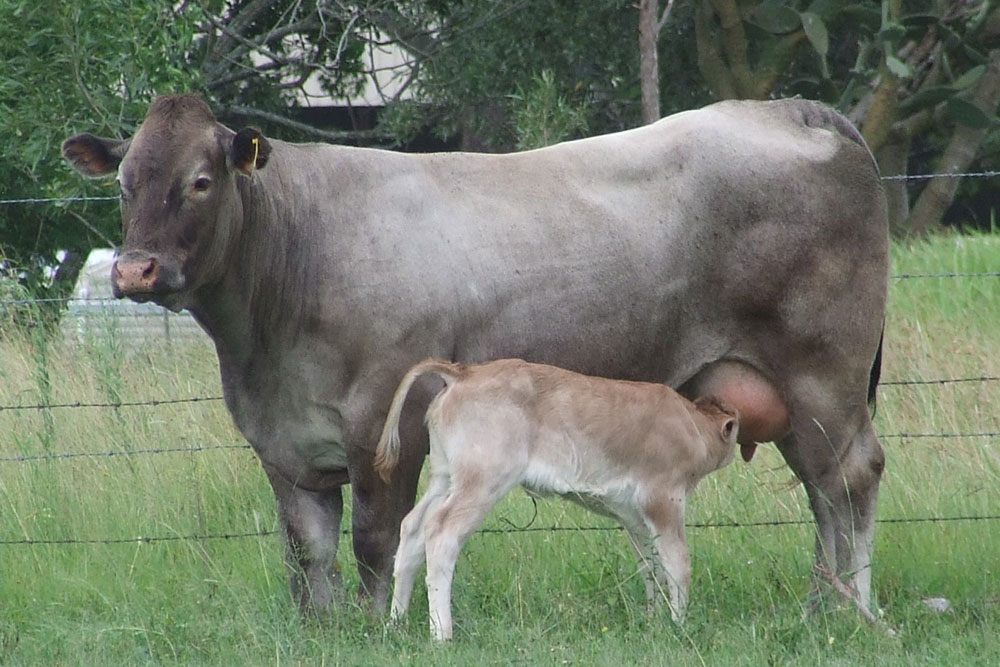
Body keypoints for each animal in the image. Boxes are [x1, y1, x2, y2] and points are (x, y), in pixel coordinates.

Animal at [375, 358, 740, 640]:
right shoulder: (663, 498)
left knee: (412, 528)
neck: (692, 427)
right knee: (441, 533)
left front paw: (653, 619)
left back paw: (396, 623)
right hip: (483, 480)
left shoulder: (634, 517)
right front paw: (679, 625)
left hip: (443, 476)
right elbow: (678, 562)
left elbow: (651, 566)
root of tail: (464, 373)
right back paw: (442, 634)